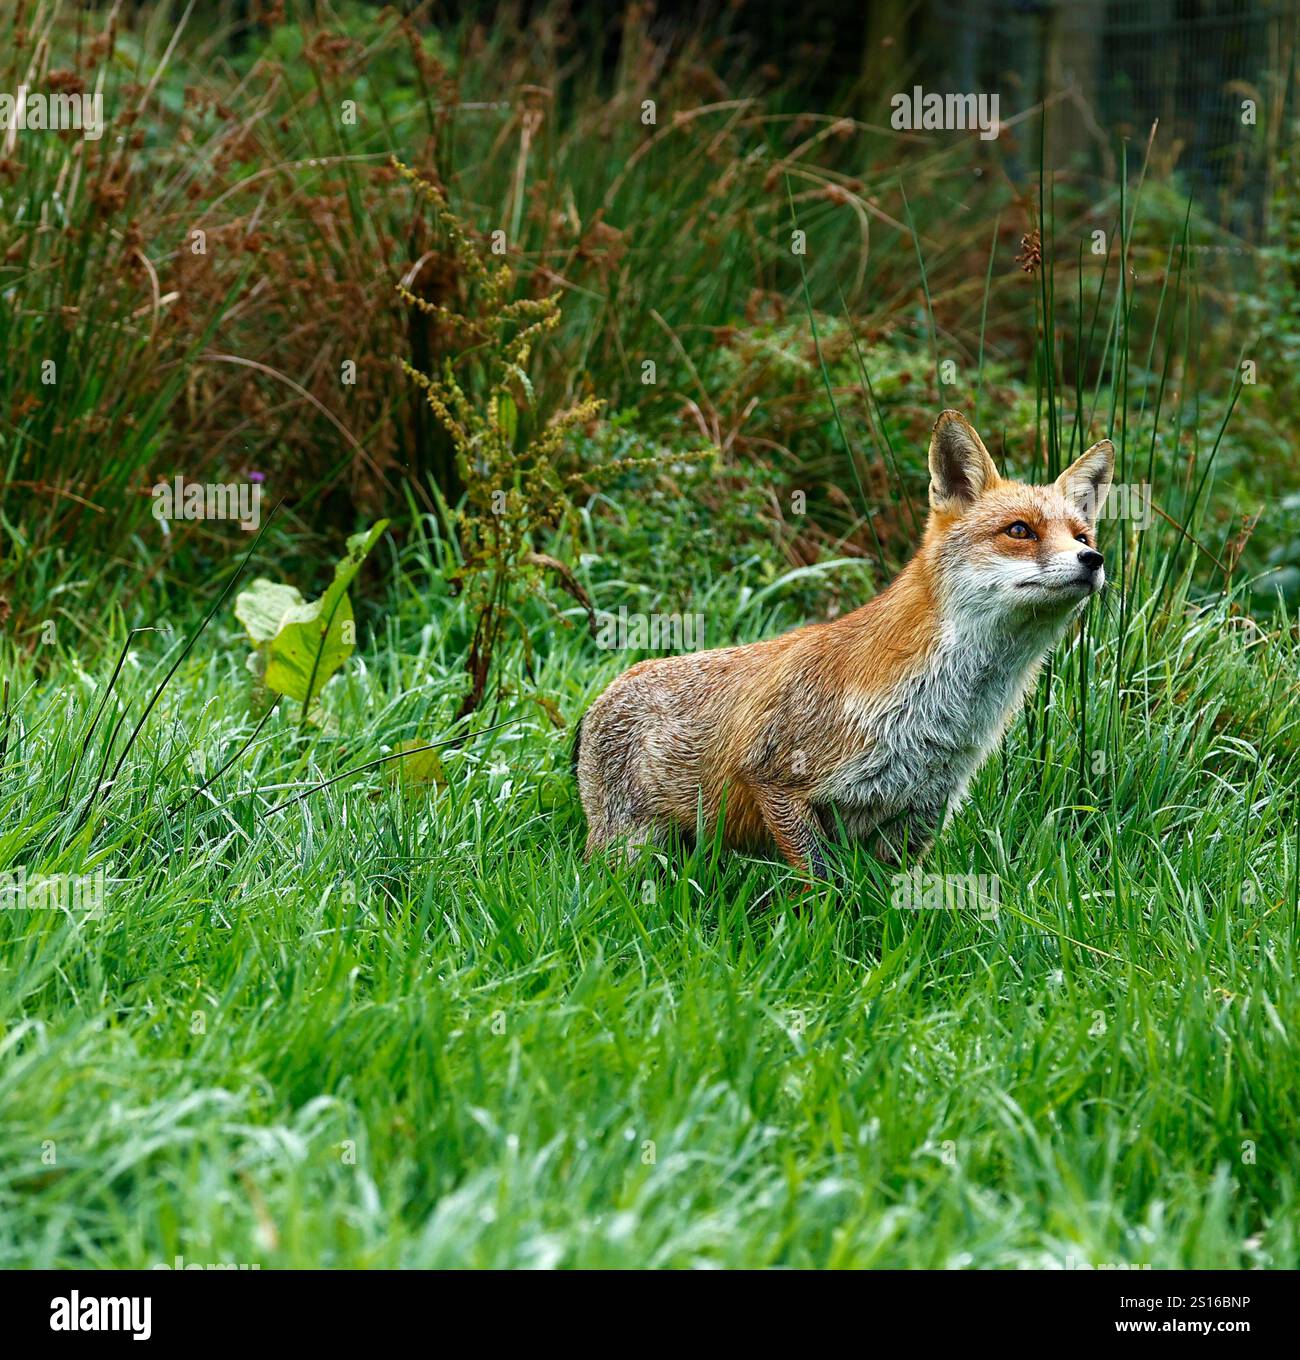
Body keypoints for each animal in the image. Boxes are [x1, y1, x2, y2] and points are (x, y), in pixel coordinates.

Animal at [574, 410, 1114, 877]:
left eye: (1081, 535)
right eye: (1020, 530)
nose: (1093, 559)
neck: (943, 709)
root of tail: (604, 693)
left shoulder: (922, 807)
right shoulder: (775, 776)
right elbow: (822, 887)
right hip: (631, 850)